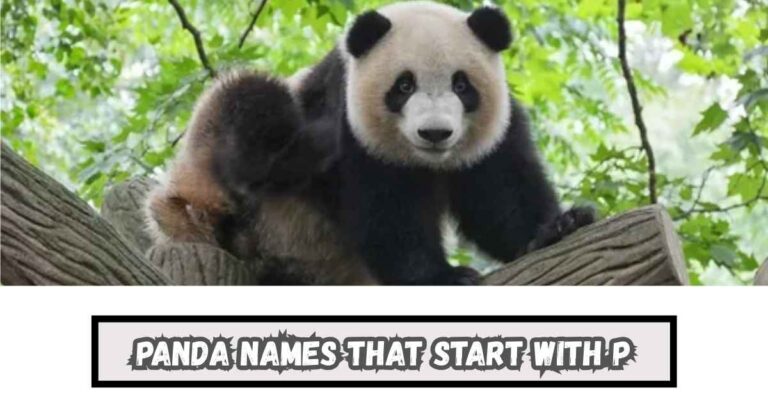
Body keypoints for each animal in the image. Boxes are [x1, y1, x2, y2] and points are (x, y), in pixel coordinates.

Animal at [144, 1, 595, 285]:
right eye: (404, 86)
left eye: (462, 85)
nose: (435, 133)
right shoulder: (352, 126)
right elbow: (385, 211)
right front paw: (443, 276)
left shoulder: (491, 132)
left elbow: (500, 196)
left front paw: (560, 225)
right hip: (220, 181)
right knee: (250, 102)